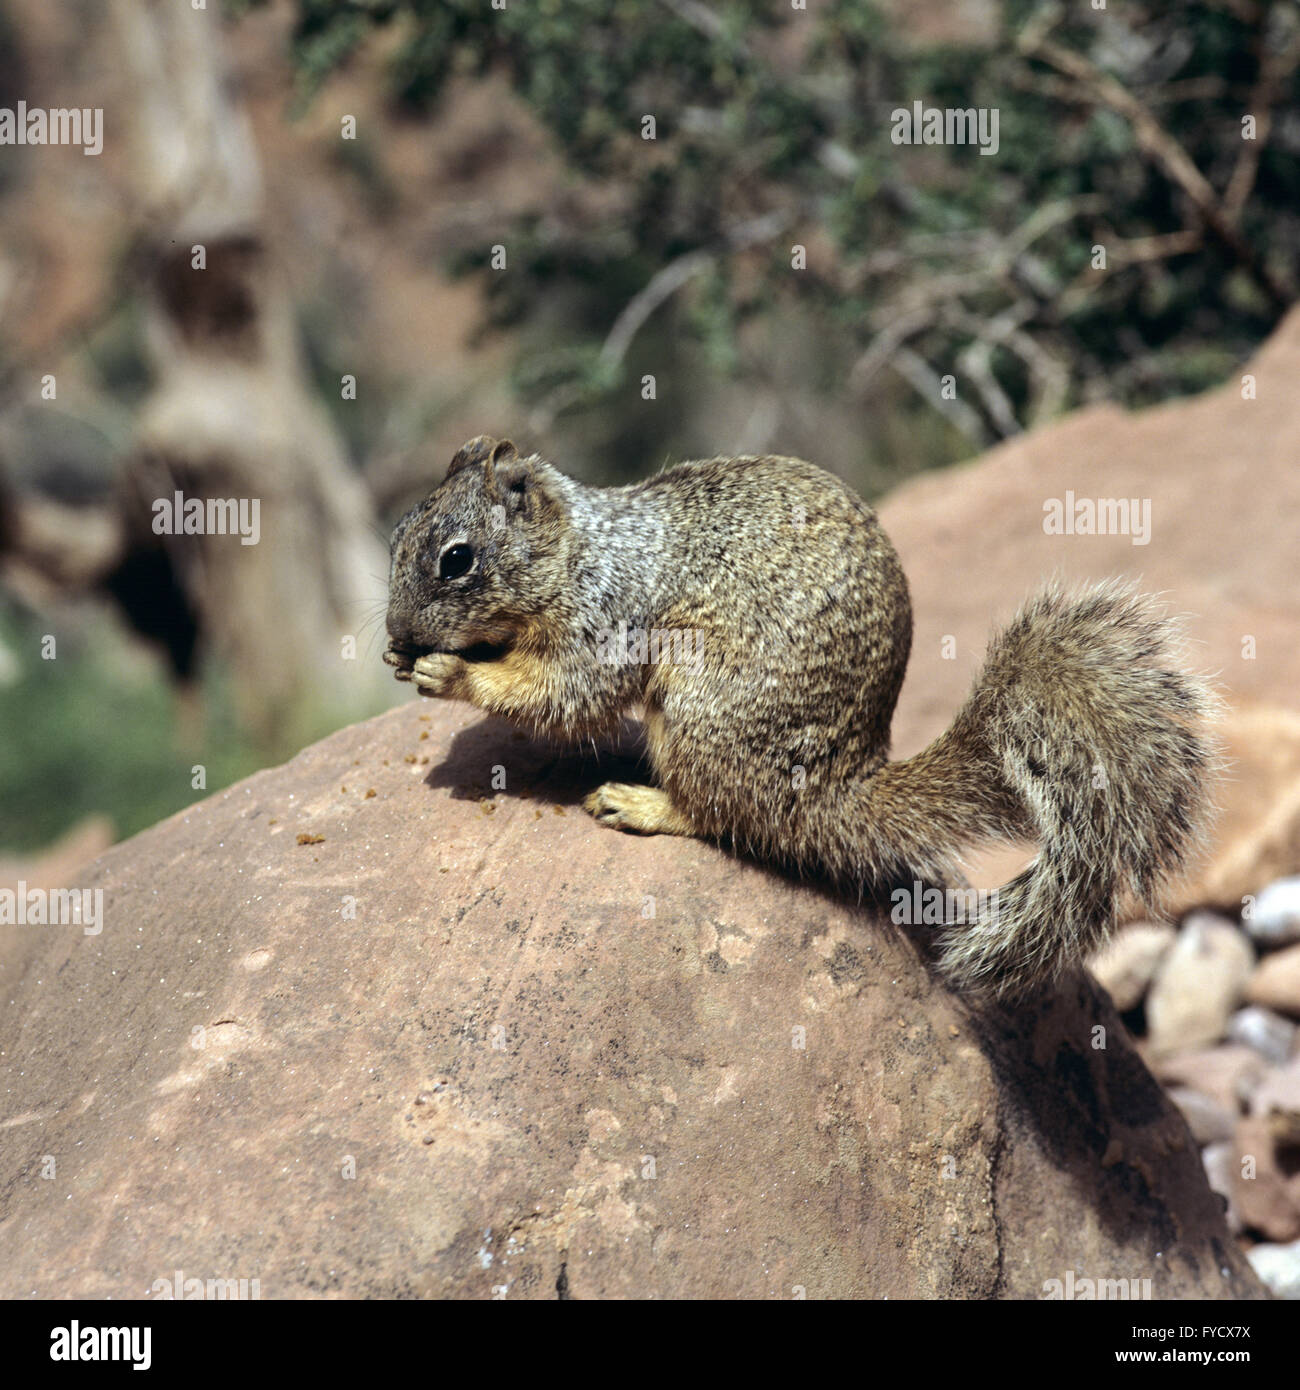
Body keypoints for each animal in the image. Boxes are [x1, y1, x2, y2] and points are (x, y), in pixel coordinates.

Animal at [384, 435, 1218, 996]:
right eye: (397, 535)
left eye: (456, 559)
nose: (393, 632)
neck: (577, 549)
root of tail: (831, 787)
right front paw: (405, 659)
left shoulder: (605, 619)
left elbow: (566, 691)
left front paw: (450, 671)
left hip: (697, 711)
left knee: (725, 816)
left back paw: (642, 803)